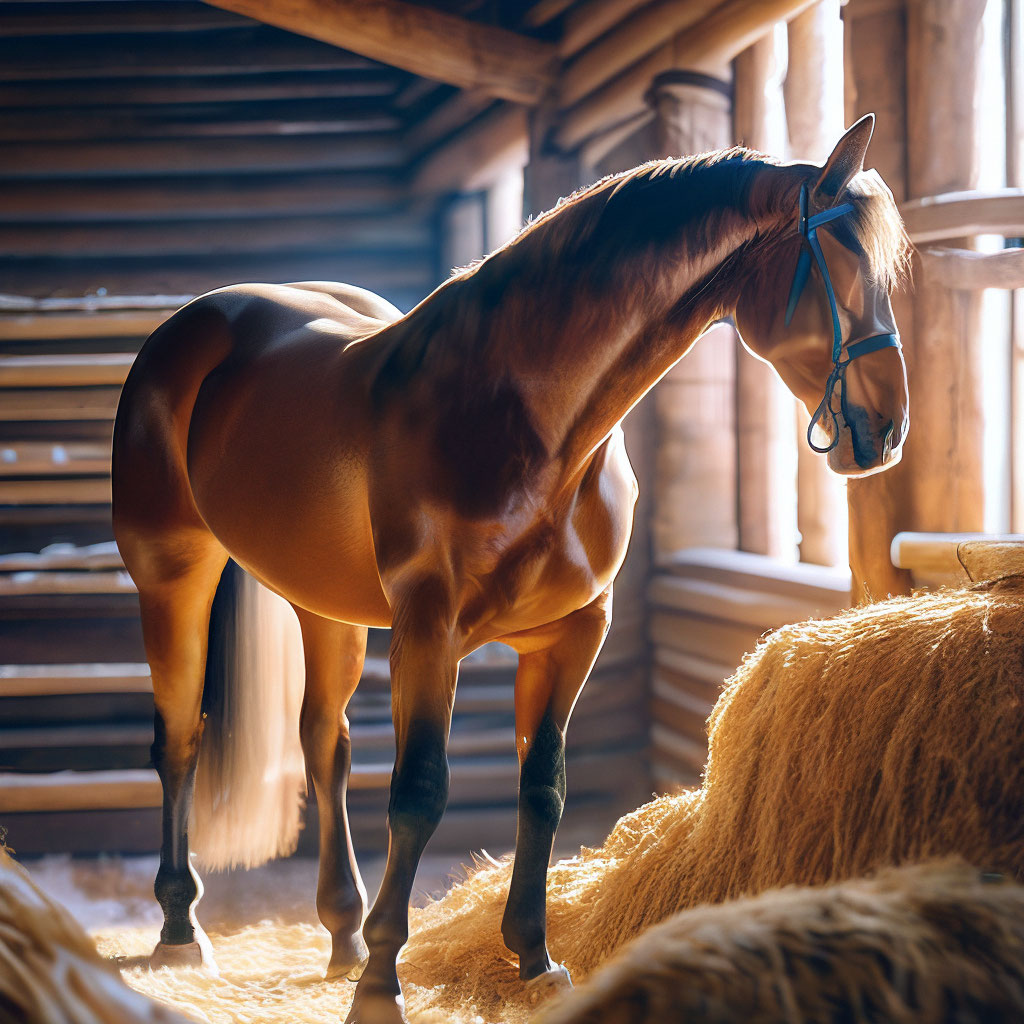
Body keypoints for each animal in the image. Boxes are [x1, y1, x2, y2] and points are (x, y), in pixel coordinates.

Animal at [111, 113, 909, 1024]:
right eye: (841, 265)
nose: (889, 427)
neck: (526, 414)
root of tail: (198, 326)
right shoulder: (429, 629)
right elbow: (420, 792)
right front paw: (383, 982)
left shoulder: (570, 635)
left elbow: (544, 789)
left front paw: (533, 959)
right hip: (172, 575)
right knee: (180, 739)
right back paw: (184, 930)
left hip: (326, 605)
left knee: (325, 742)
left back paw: (340, 934)